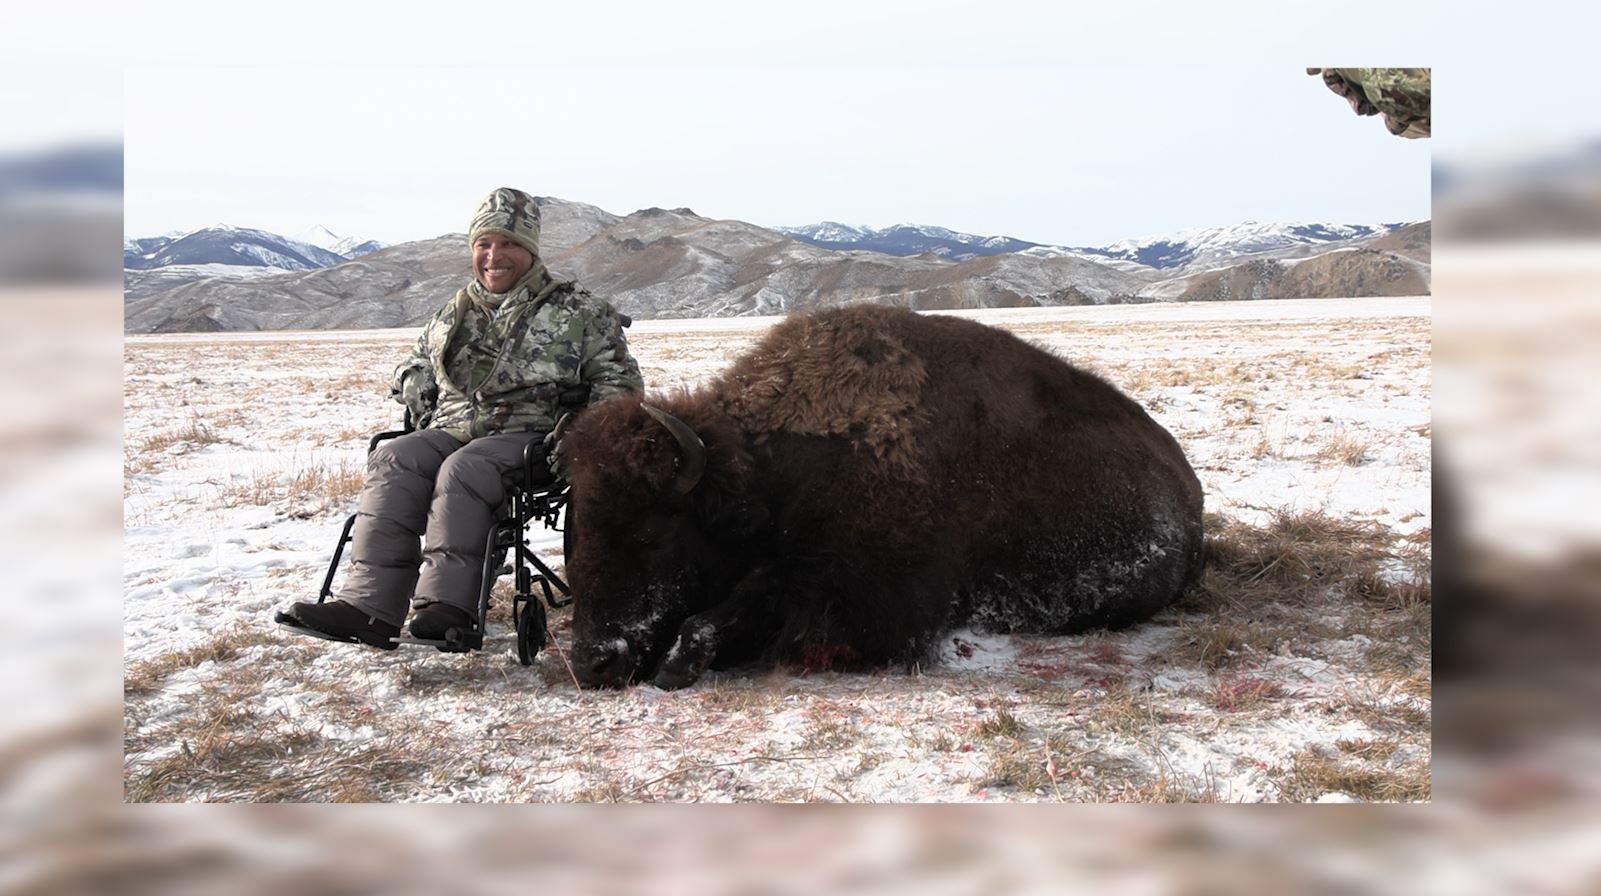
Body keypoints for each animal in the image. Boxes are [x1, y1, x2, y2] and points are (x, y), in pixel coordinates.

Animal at [559, 305, 1203, 689]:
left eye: (653, 532)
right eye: (575, 530)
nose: (594, 662)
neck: (770, 476)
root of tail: (1189, 489)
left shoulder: (871, 604)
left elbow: (737, 610)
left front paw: (674, 665)